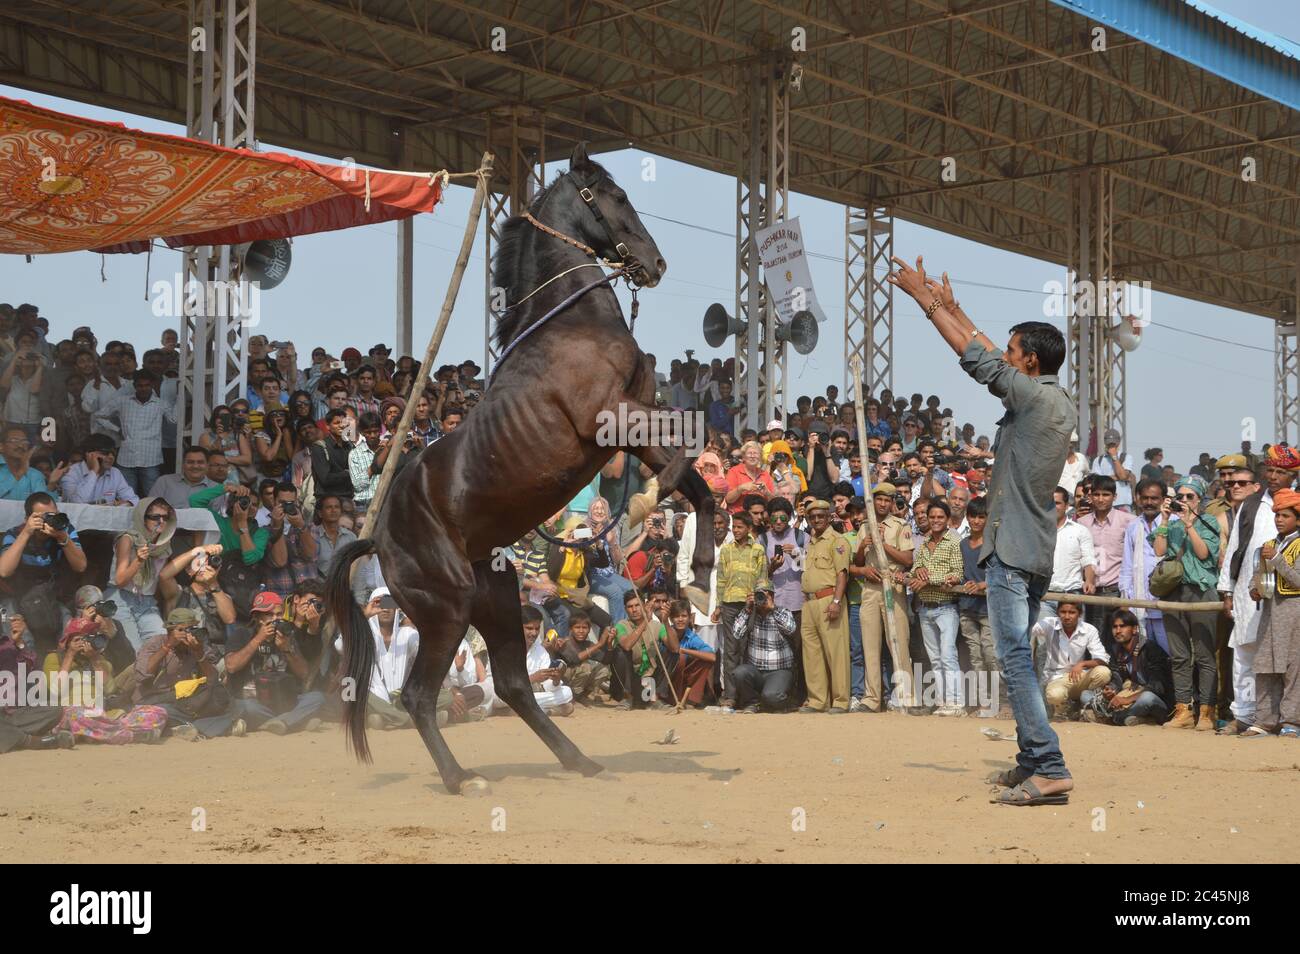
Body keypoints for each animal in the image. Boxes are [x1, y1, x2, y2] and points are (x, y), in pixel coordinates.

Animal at [326, 143, 718, 795]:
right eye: (614, 197)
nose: (655, 263)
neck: (571, 323)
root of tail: (379, 538)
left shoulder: (636, 423)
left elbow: (698, 481)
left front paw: (704, 567)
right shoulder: (613, 417)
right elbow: (694, 439)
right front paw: (644, 507)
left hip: (498, 600)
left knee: (512, 683)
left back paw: (579, 761)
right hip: (447, 608)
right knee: (419, 695)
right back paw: (461, 778)